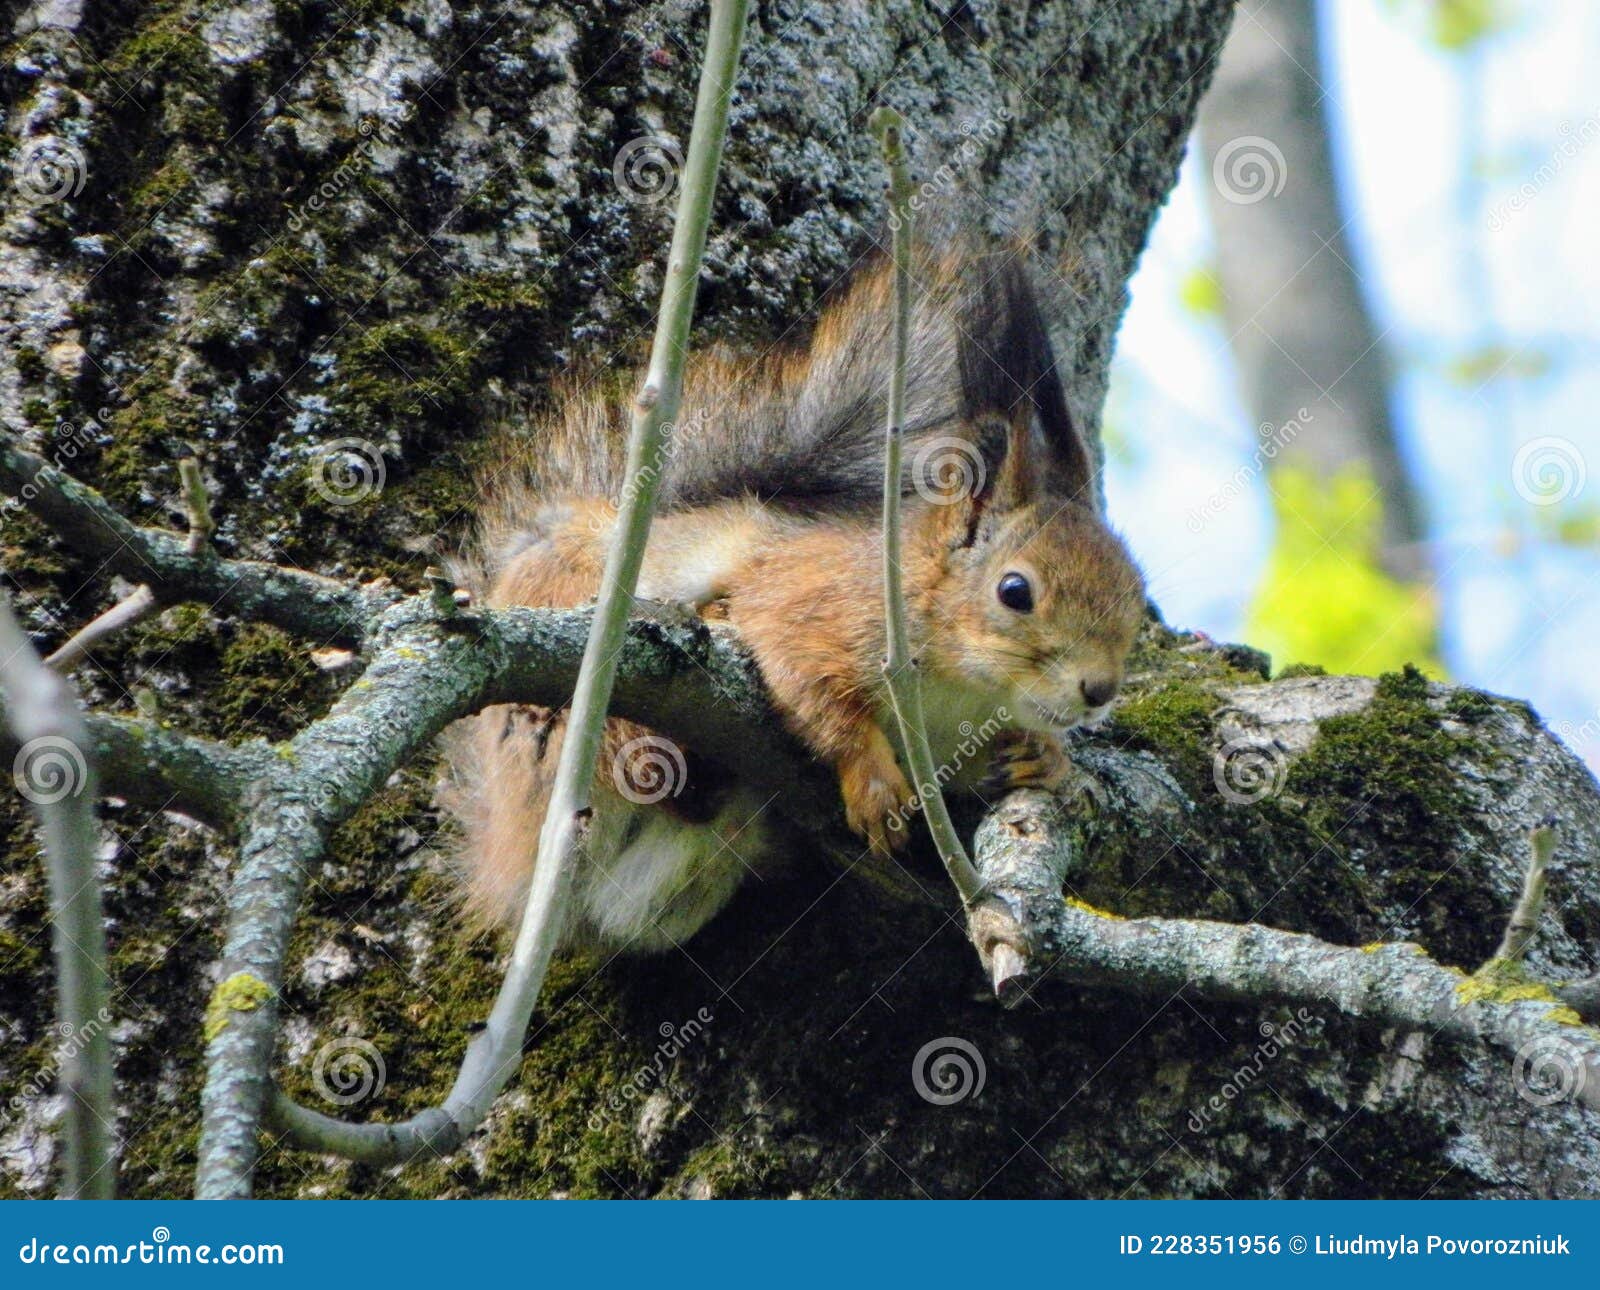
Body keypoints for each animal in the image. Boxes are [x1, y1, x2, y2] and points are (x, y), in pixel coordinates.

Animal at [443, 240, 1147, 952]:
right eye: (1014, 590)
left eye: (1137, 596)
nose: (1098, 690)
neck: (962, 690)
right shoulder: (813, 609)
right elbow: (814, 689)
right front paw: (873, 783)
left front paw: (1043, 756)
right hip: (578, 683)